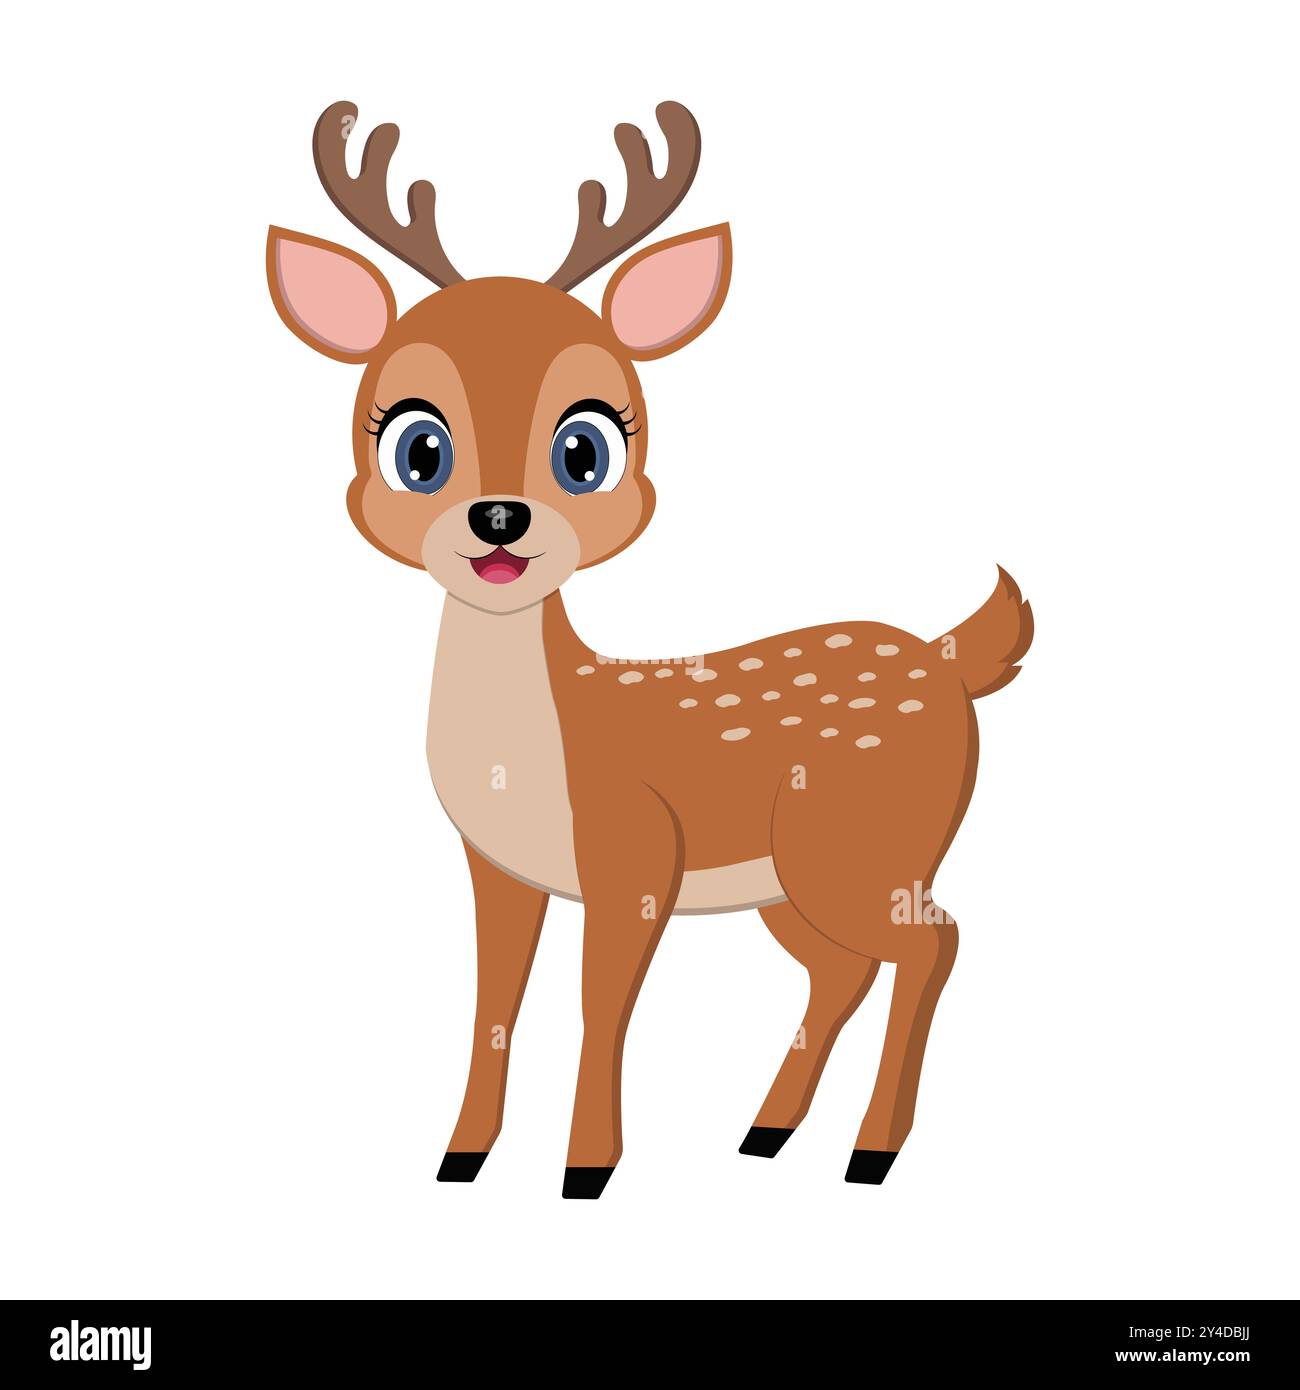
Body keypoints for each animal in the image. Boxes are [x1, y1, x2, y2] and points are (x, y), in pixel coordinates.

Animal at [266, 99, 1033, 1198]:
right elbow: (492, 1004)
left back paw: (870, 1152)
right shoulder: (497, 867)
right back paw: (765, 1133)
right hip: (788, 879)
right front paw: (461, 1155)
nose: (499, 519)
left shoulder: (636, 853)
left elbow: (602, 1005)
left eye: (584, 449)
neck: (528, 761)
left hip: (861, 846)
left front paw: (586, 1169)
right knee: (843, 965)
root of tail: (950, 656)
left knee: (934, 942)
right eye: (418, 447)